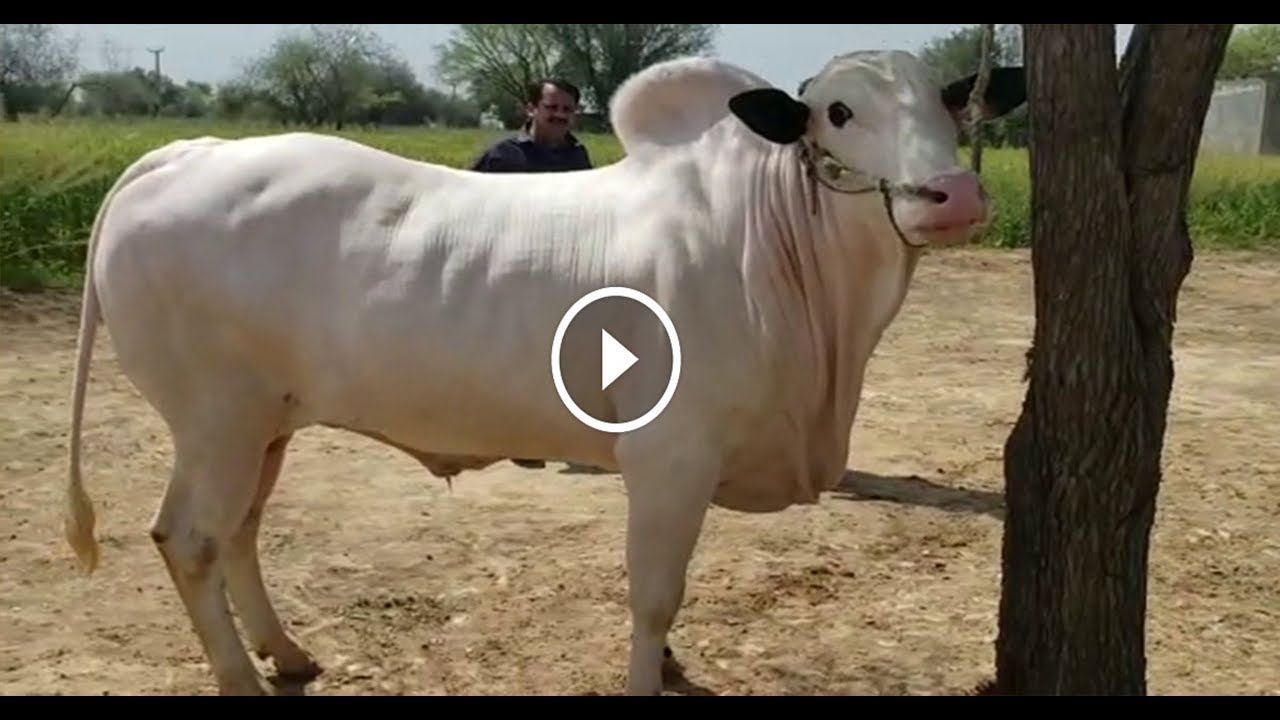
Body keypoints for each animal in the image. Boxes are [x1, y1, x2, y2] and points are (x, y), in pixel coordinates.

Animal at [63, 49, 1026, 696]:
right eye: (838, 112)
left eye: (953, 102)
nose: (954, 195)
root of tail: (189, 151)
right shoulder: (670, 459)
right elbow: (655, 597)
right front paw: (648, 673)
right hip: (215, 419)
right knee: (190, 539)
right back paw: (241, 675)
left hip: (266, 422)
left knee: (240, 533)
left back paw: (286, 652)